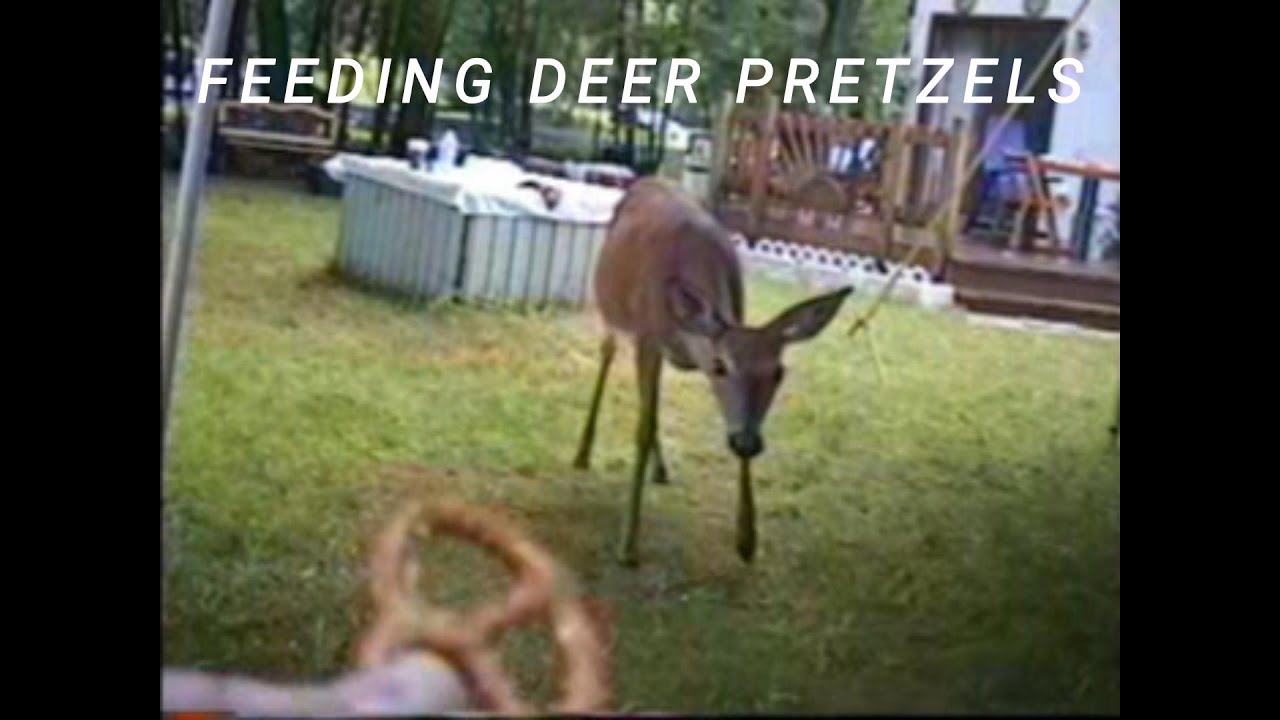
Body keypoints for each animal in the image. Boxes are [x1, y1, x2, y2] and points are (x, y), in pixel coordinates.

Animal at [572, 177, 853, 567]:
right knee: (608, 354)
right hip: (611, 309)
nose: (747, 440)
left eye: (778, 372)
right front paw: (628, 544)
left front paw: (746, 539)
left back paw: (660, 469)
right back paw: (582, 454)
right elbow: (642, 429)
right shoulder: (647, 337)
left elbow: (659, 419)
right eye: (720, 366)